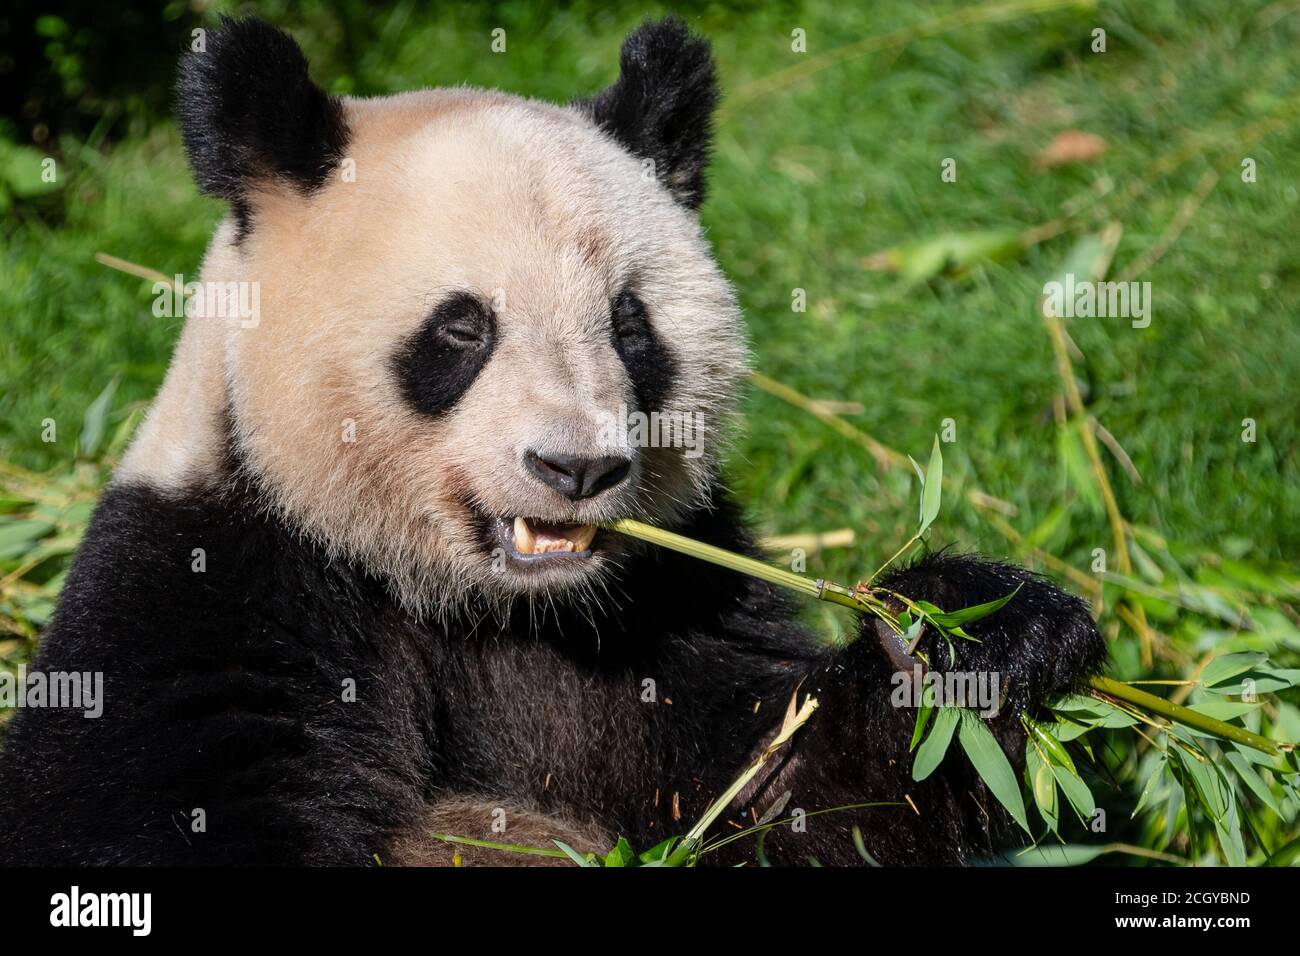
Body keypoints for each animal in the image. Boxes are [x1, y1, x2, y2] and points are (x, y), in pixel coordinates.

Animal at [0, 16, 1105, 866]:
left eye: (629, 325)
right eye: (461, 329)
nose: (575, 468)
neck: (480, 606)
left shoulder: (655, 610)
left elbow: (781, 793)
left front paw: (970, 635)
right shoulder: (208, 586)